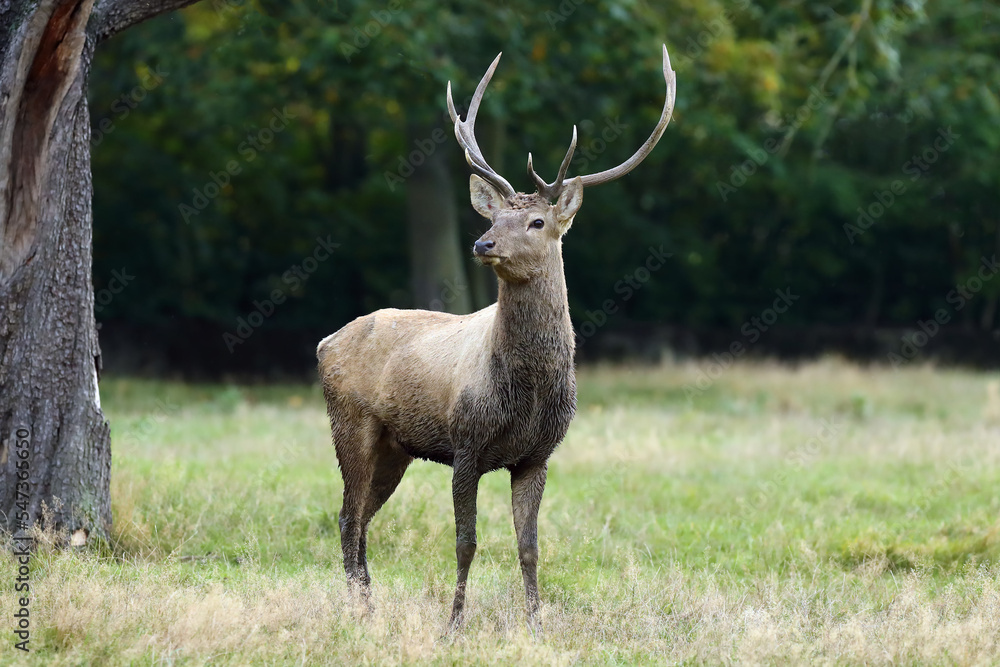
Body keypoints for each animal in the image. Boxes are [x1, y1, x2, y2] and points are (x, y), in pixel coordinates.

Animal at [317, 45, 676, 631]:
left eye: (536, 222)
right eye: (496, 215)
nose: (483, 242)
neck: (527, 388)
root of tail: (325, 342)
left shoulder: (537, 454)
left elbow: (529, 546)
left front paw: (536, 623)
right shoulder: (465, 442)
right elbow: (466, 542)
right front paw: (454, 625)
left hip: (396, 446)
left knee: (361, 515)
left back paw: (367, 605)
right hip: (350, 422)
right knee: (348, 515)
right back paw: (359, 611)